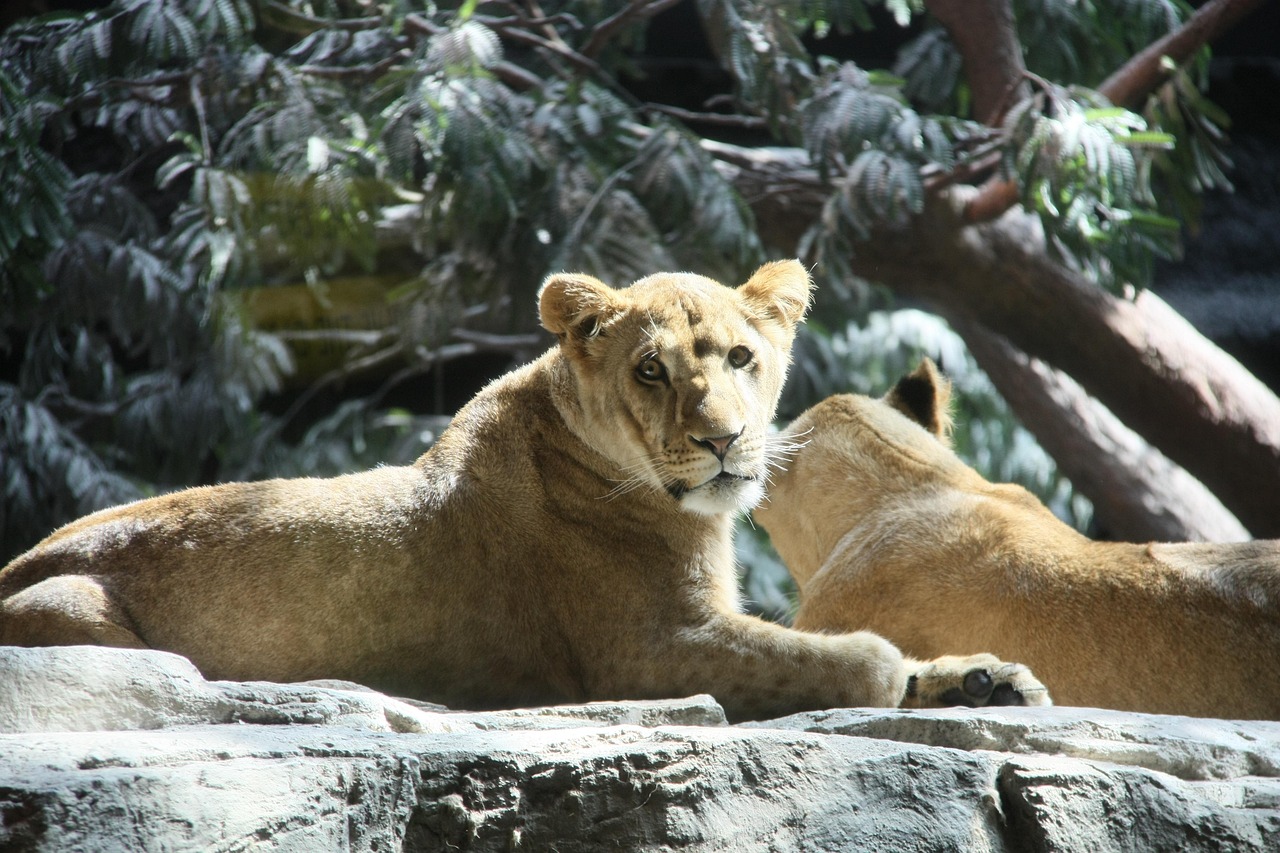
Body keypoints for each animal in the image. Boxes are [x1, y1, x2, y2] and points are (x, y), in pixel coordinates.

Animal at [0, 263, 1047, 721]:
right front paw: (915, 675)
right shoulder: (646, 652)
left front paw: (982, 677)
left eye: (744, 358)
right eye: (653, 370)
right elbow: (852, 656)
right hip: (78, 608)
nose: (722, 440)